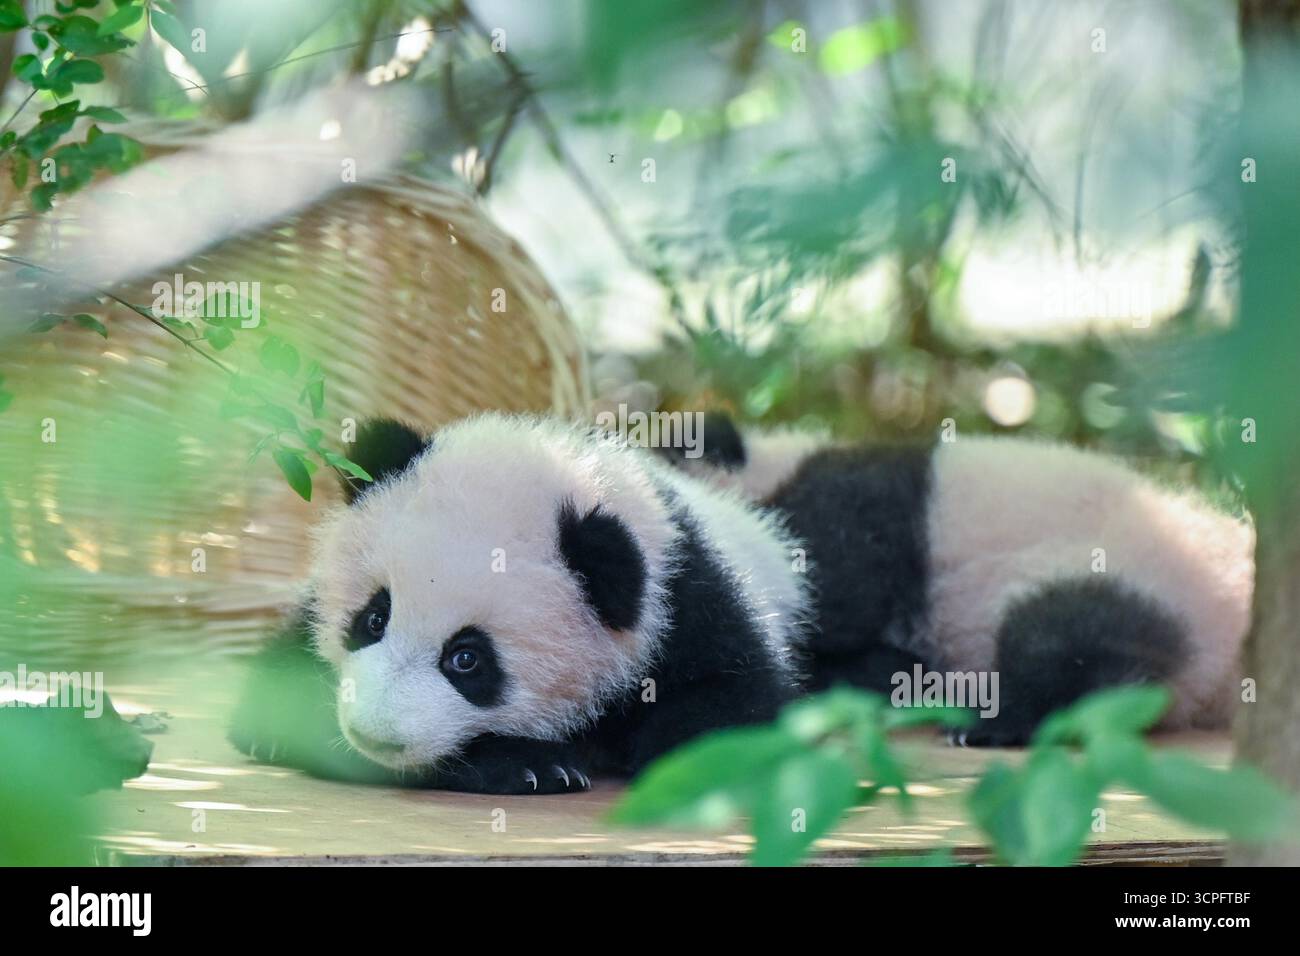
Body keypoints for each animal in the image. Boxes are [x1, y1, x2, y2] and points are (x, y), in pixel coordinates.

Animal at [229, 413, 810, 793]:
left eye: (467, 659)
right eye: (374, 618)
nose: (374, 735)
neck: (575, 475)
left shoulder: (685, 603)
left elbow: (733, 716)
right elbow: (282, 699)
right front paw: (528, 763)